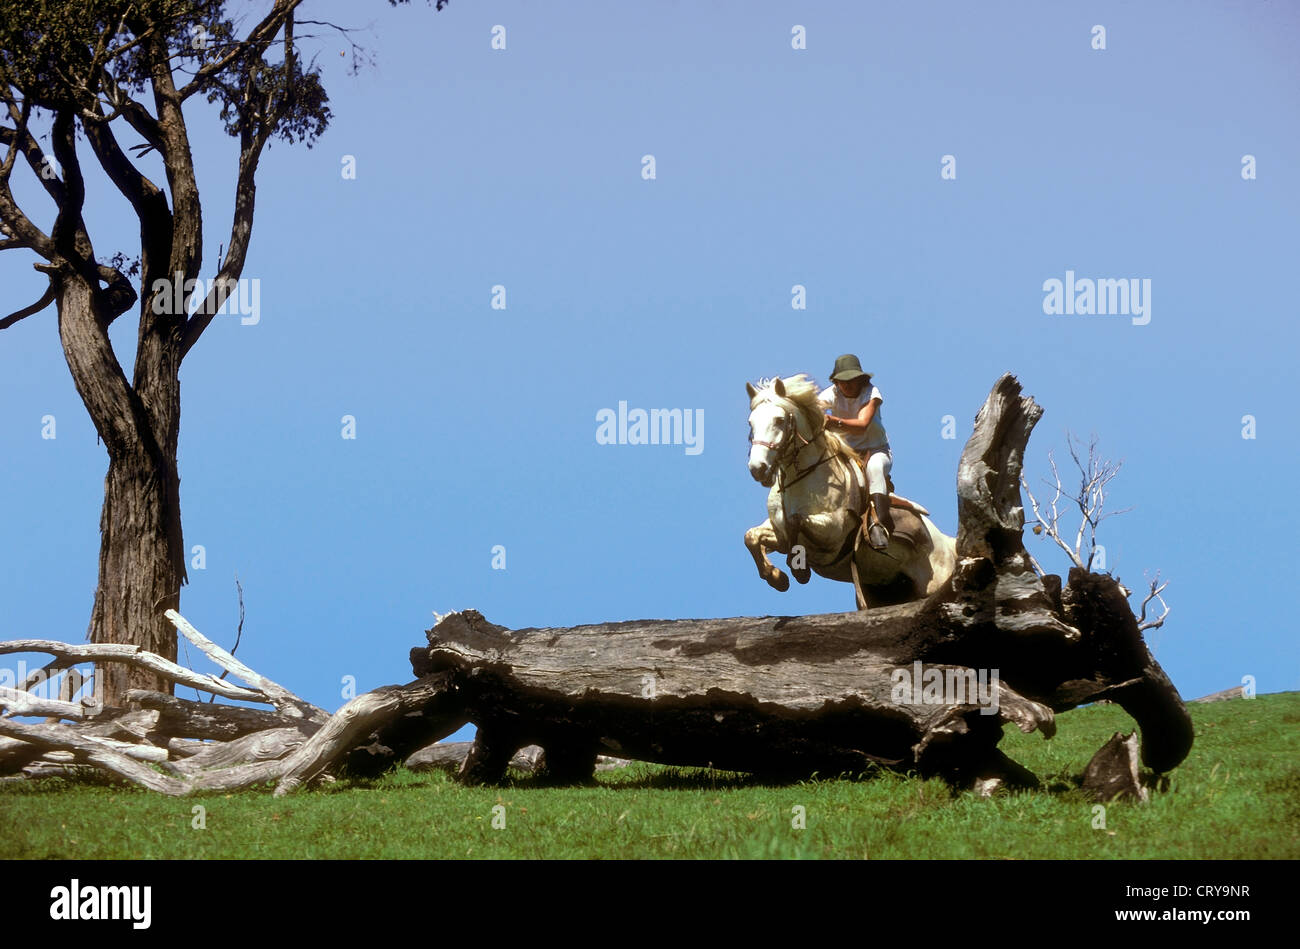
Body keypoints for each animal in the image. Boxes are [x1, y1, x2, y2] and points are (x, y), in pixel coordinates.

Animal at [743, 374, 957, 609]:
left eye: (779, 420)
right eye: (751, 423)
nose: (758, 468)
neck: (802, 479)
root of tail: (948, 543)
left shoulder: (833, 531)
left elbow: (797, 521)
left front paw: (799, 569)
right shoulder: (776, 529)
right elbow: (751, 537)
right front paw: (777, 577)